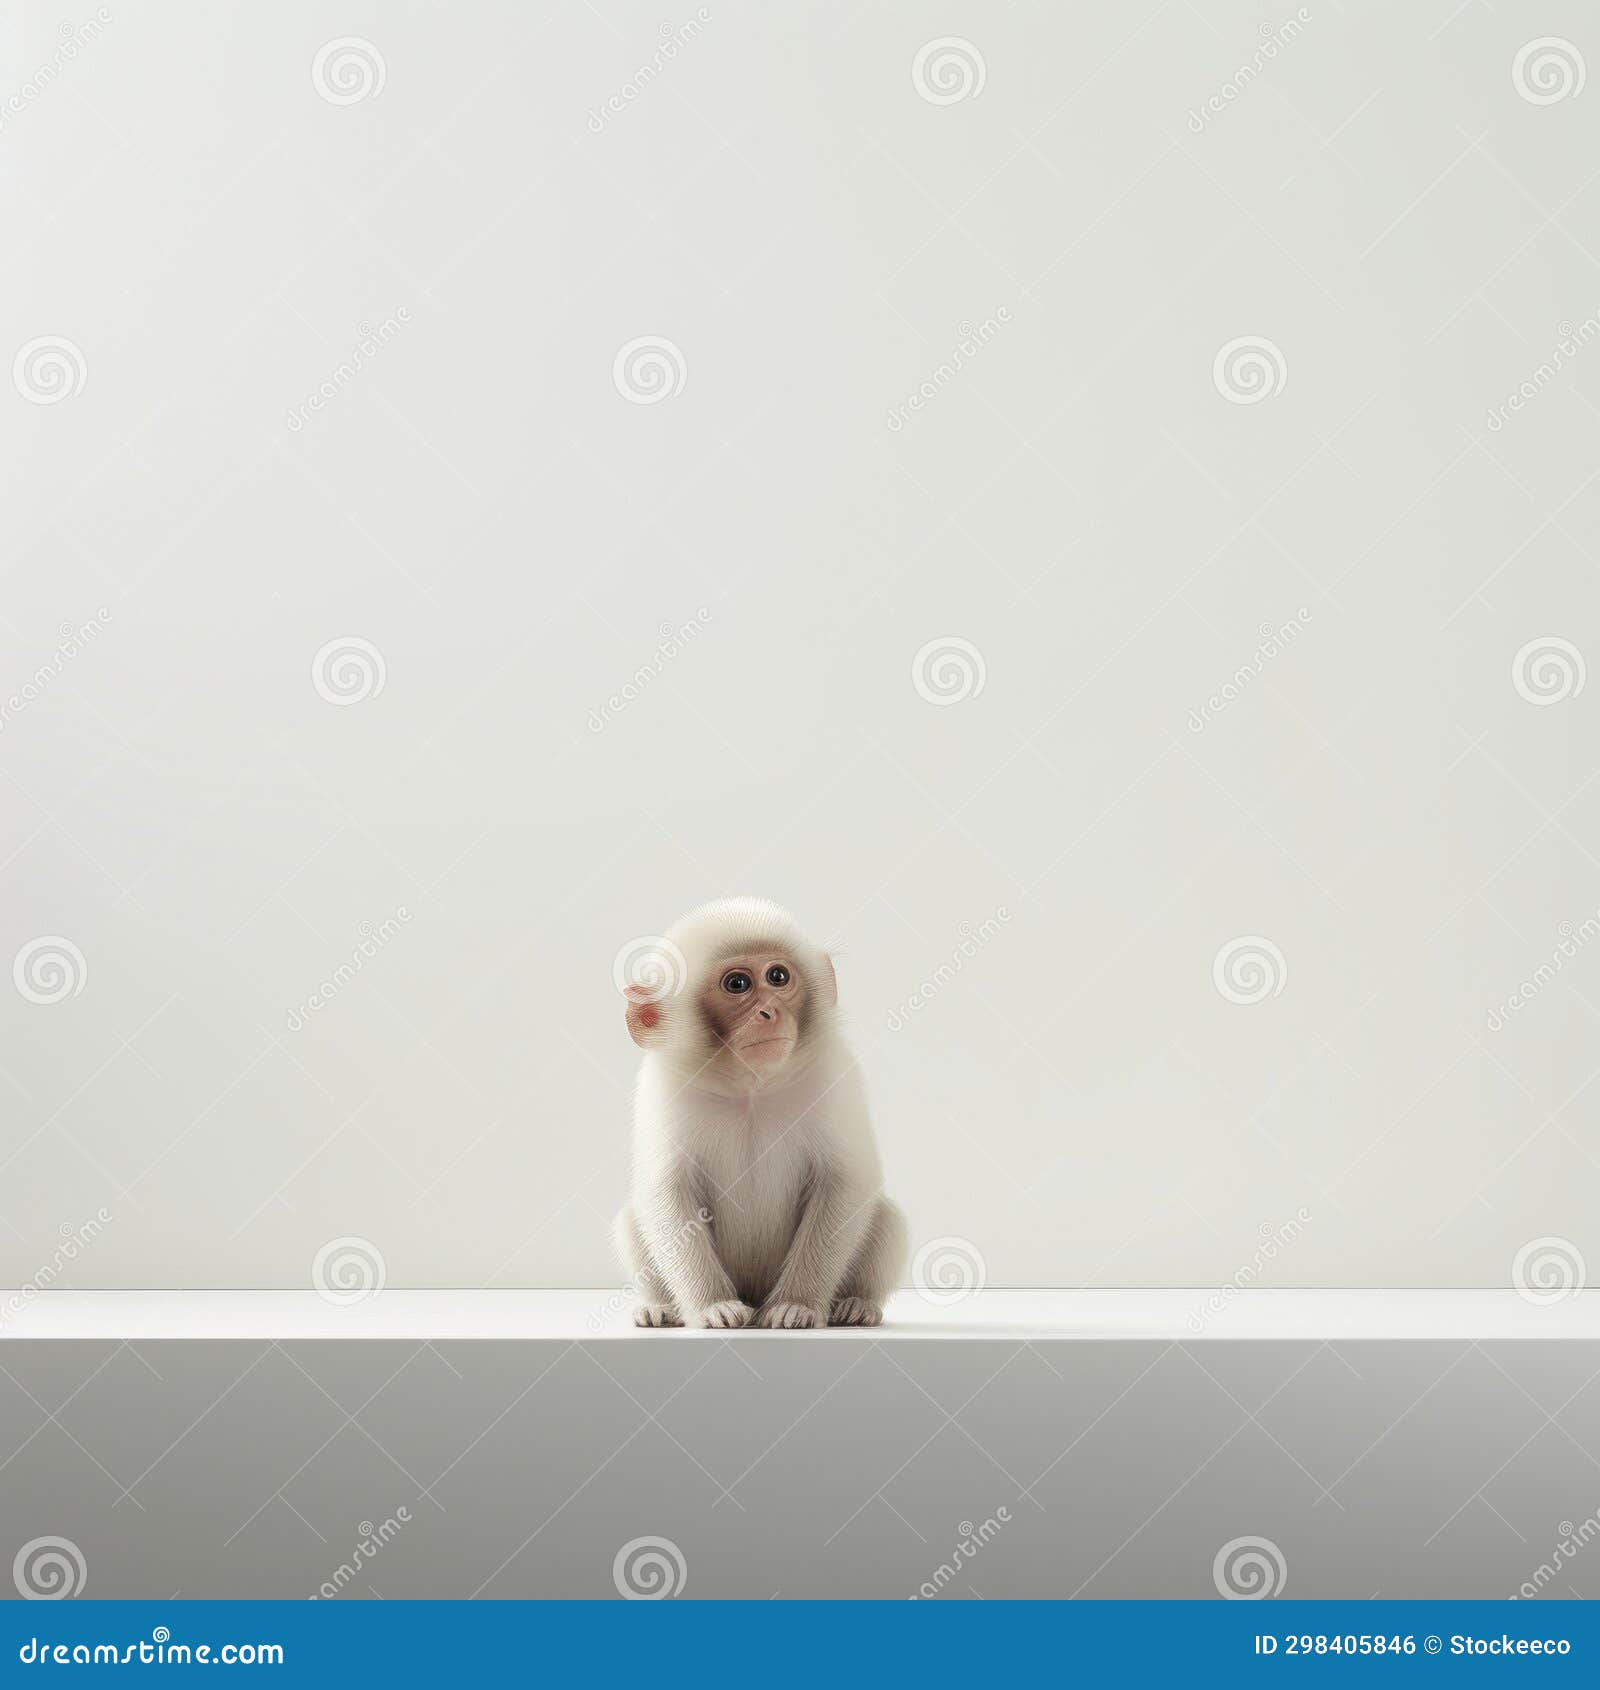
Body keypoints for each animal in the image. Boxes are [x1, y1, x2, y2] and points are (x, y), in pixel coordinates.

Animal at [613, 897, 907, 1330]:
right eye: (737, 984)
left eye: (778, 976)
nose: (769, 1012)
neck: (750, 1090)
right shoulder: (663, 1091)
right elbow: (667, 1193)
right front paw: (712, 1305)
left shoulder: (834, 1075)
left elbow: (845, 1181)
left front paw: (798, 1304)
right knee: (633, 1218)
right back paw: (661, 1307)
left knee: (886, 1215)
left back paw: (857, 1303)